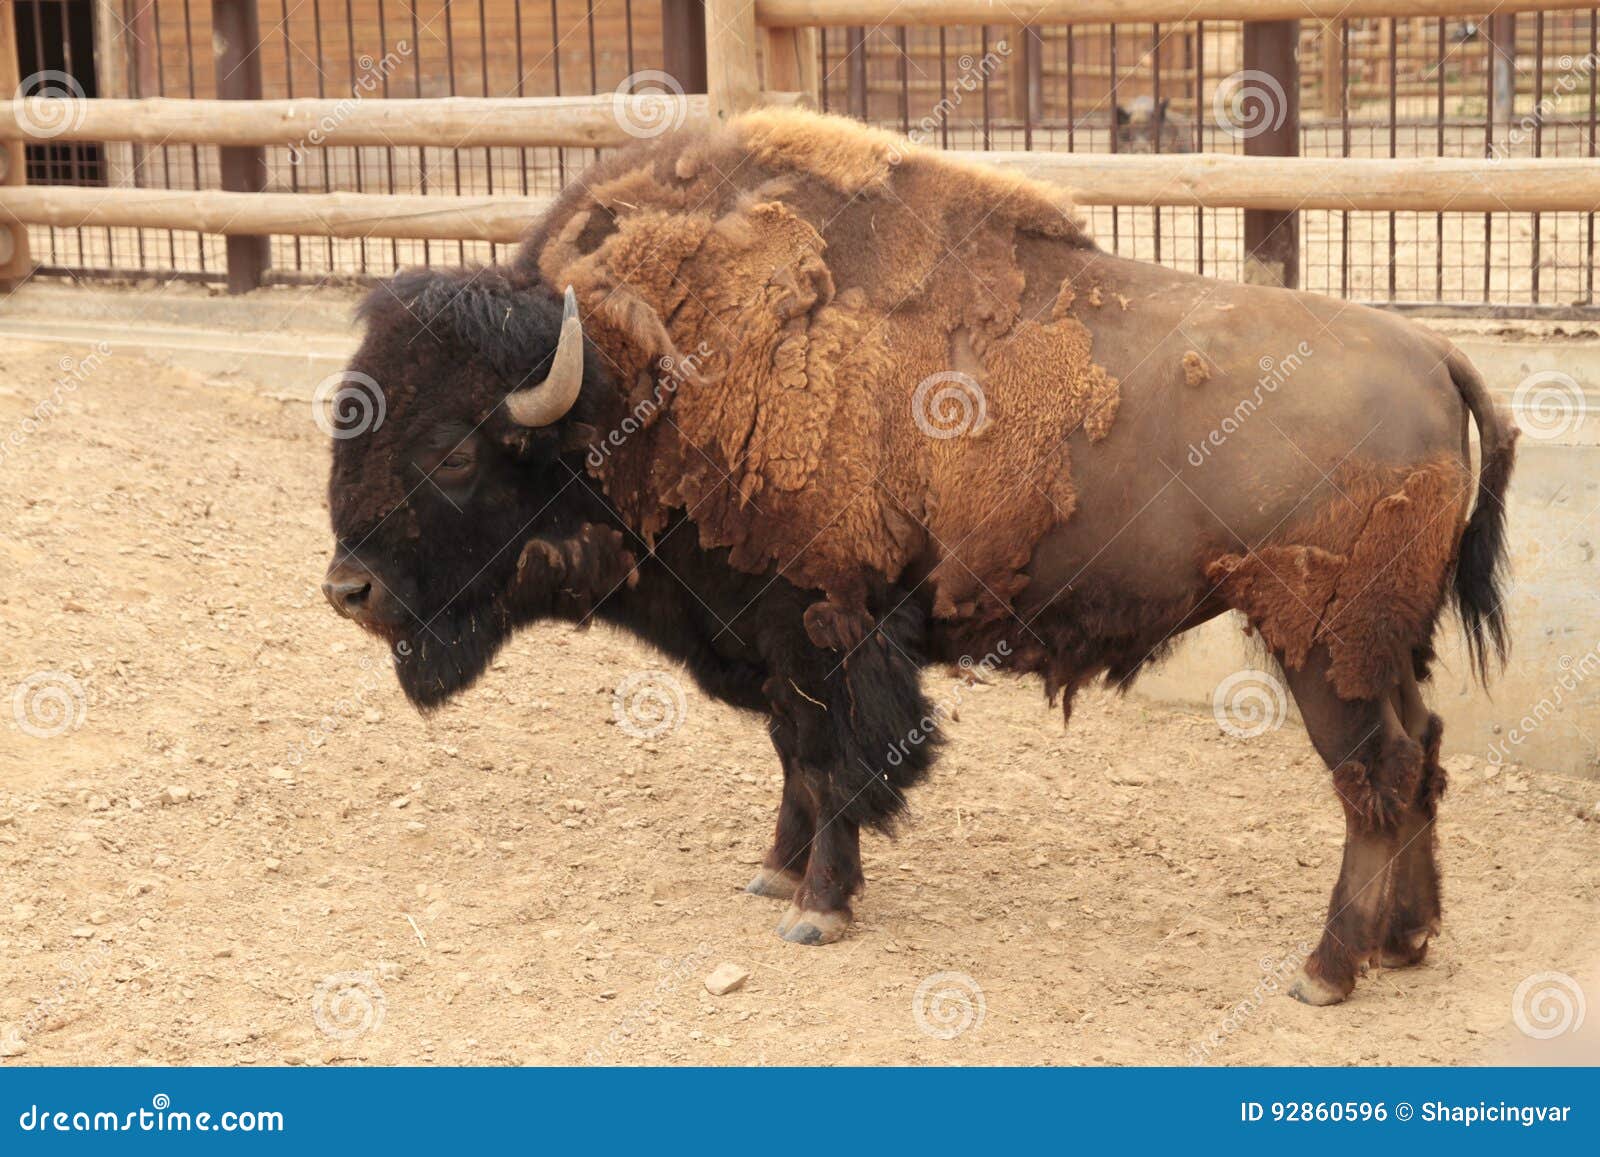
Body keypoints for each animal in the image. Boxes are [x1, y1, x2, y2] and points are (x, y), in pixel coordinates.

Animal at [323, 109, 1514, 1005]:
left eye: (451, 448)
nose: (349, 588)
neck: (641, 383)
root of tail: (1435, 355)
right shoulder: (775, 641)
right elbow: (795, 759)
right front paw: (774, 876)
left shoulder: (829, 626)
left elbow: (837, 763)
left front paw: (818, 907)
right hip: (1382, 649)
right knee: (1422, 756)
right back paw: (1406, 939)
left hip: (1324, 649)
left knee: (1374, 777)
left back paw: (1326, 968)